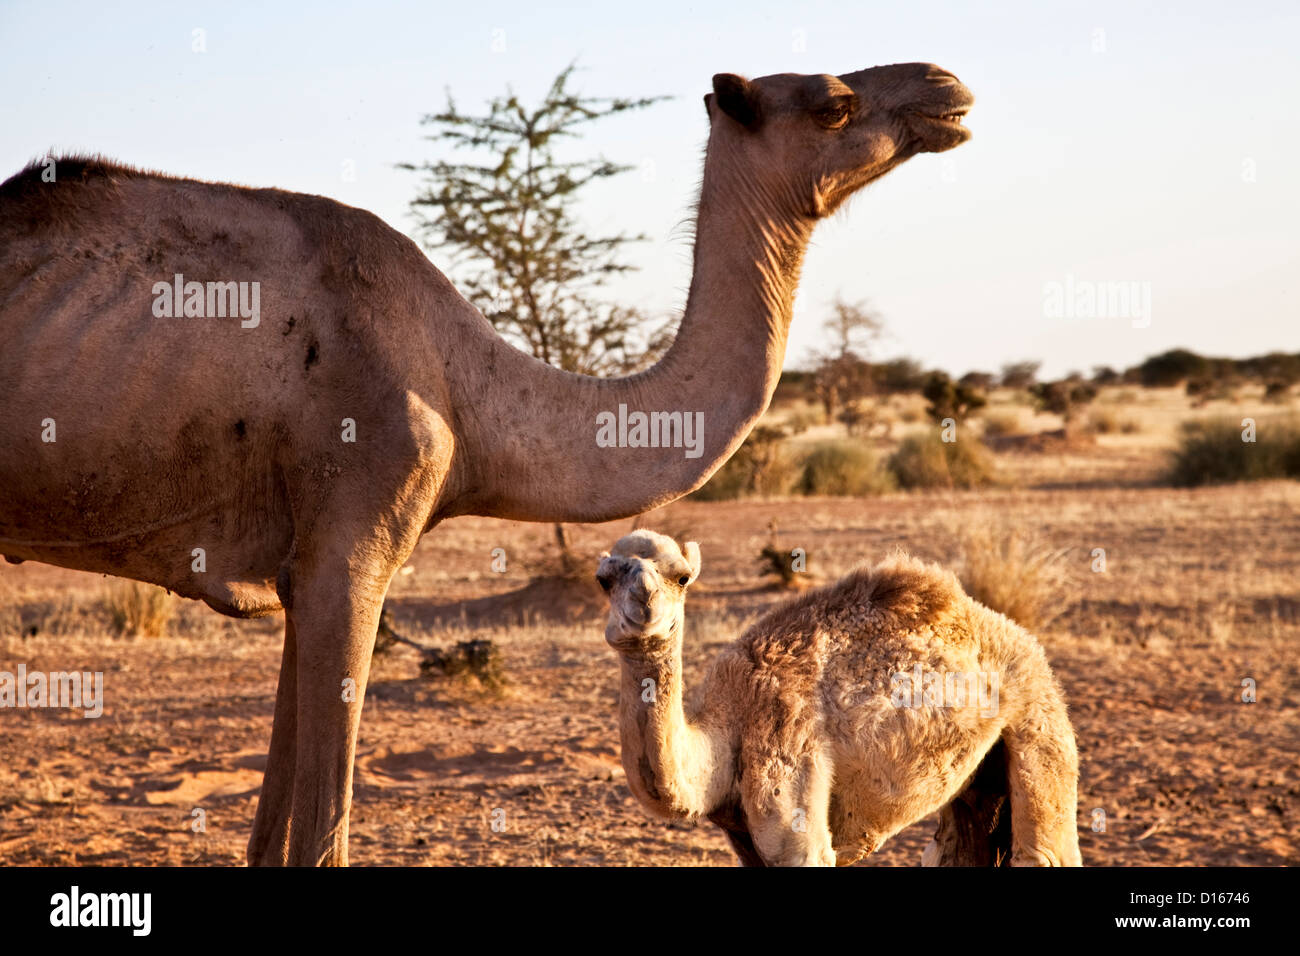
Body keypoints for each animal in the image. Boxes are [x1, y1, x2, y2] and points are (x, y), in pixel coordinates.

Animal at [0, 63, 973, 865]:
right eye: (832, 100)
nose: (946, 86)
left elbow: (271, 833)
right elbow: (320, 836)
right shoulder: (351, 552)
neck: (468, 395)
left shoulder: (302, 577)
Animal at [597, 531, 1082, 866]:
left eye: (681, 577)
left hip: (1038, 724)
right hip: (977, 783)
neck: (729, 726)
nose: (644, 604)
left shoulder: (794, 795)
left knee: (1044, 850)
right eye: (605, 580)